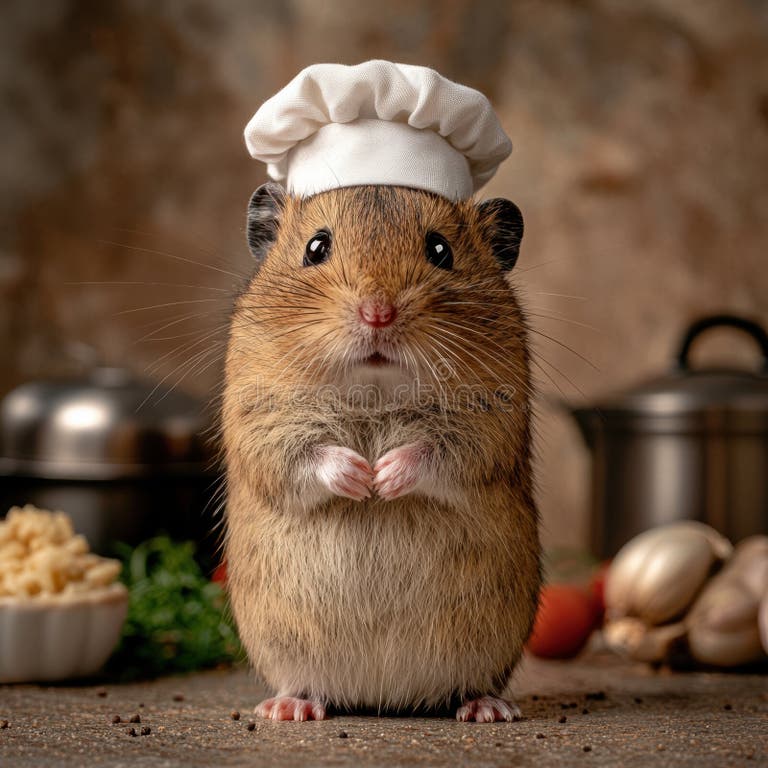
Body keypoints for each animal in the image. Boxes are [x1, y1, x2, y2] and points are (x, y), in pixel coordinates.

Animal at [223, 183, 540, 723]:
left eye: (440, 250)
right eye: (315, 248)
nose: (378, 314)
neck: (373, 392)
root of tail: (382, 696)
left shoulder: (490, 423)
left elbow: (436, 453)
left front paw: (383, 478)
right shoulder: (259, 420)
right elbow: (303, 454)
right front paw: (360, 478)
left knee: (471, 685)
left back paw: (487, 708)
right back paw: (288, 708)